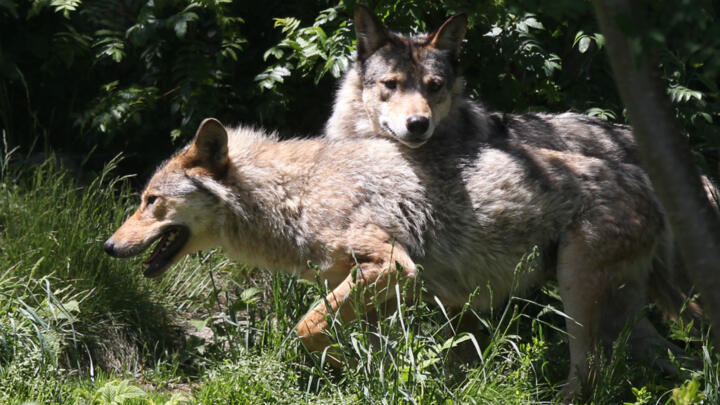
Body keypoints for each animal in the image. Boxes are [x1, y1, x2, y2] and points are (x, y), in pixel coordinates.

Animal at [106, 116, 672, 398]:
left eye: (150, 200)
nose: (108, 247)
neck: (297, 194)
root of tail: (647, 184)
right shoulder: (386, 288)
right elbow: (357, 342)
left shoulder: (394, 268)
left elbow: (307, 329)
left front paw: (340, 371)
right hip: (617, 314)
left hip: (577, 300)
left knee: (591, 375)